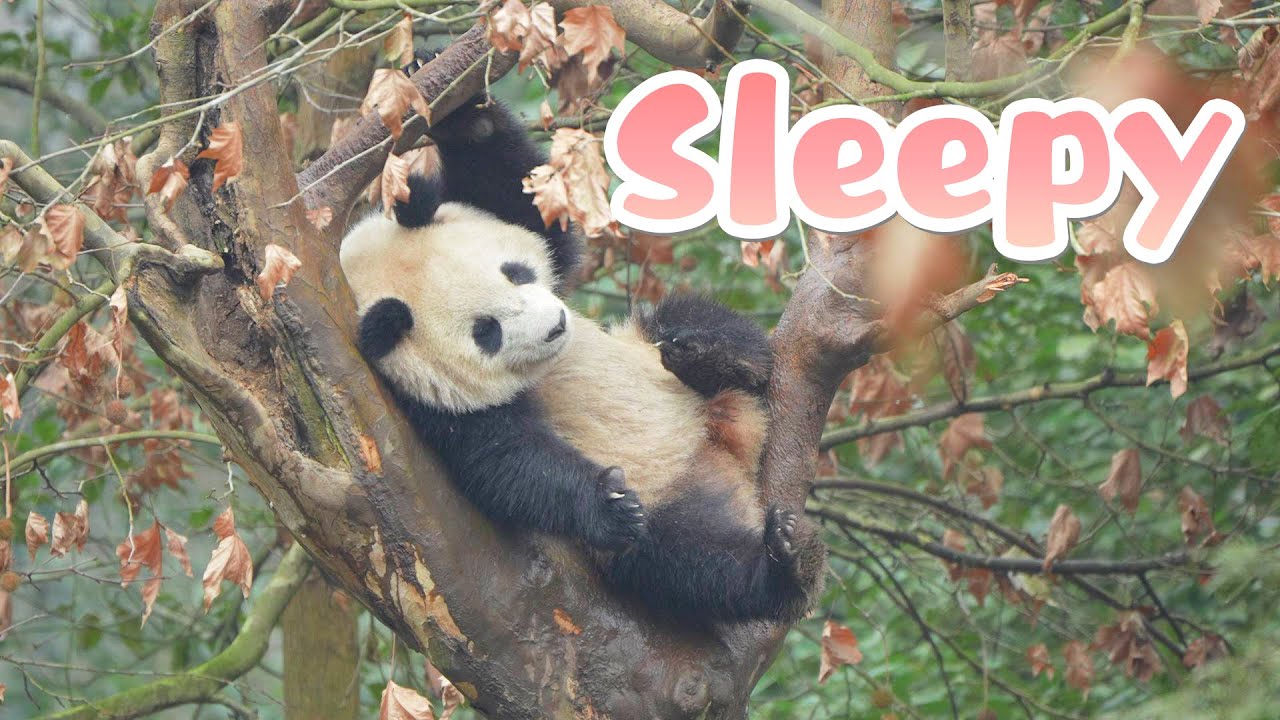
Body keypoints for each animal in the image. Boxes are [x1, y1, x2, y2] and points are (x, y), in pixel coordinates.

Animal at [339, 98, 824, 624]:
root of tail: (723, 446)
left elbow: (529, 208)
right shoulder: (430, 407)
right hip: (663, 515)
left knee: (689, 323)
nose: (556, 325)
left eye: (515, 273)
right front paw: (609, 503)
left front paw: (462, 114)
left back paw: (710, 357)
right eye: (486, 331)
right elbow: (508, 461)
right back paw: (783, 566)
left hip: (649, 347)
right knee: (692, 562)